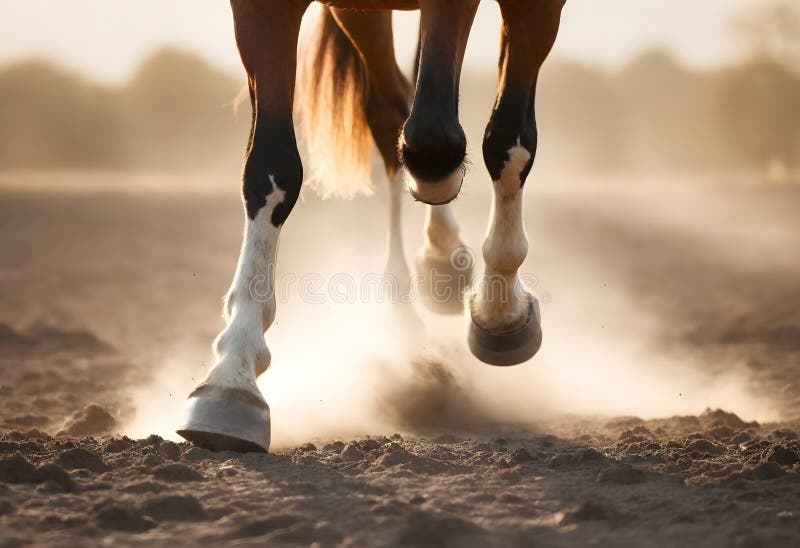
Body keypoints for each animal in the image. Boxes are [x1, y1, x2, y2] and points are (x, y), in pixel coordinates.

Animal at [177, 0, 565, 452]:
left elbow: (494, 141)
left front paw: (500, 307)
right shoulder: (262, 10)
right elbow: (271, 167)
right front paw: (232, 376)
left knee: (429, 131)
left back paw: (445, 266)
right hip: (362, 16)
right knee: (393, 114)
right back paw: (412, 294)